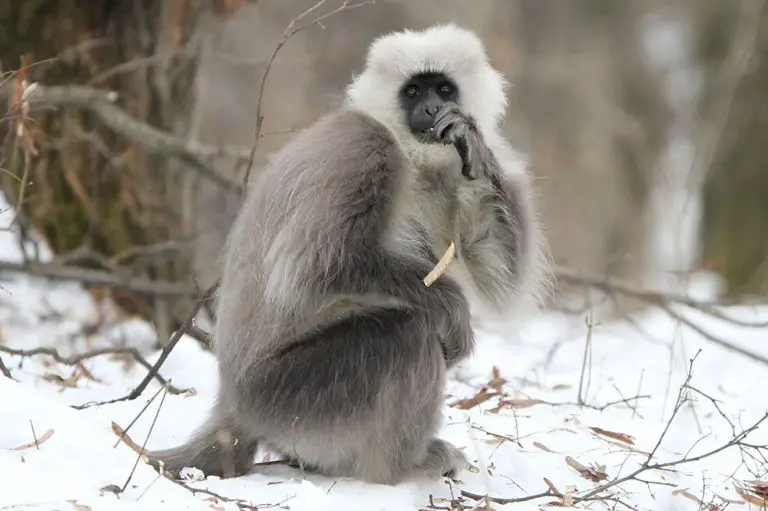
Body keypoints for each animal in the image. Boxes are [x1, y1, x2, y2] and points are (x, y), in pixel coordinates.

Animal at [146, 24, 549, 486]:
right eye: (414, 91)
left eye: (444, 88)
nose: (431, 108)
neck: (409, 154)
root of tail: (233, 408)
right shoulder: (364, 150)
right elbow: (313, 270)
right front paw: (453, 306)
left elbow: (501, 279)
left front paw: (474, 145)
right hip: (292, 397)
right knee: (408, 332)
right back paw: (401, 469)